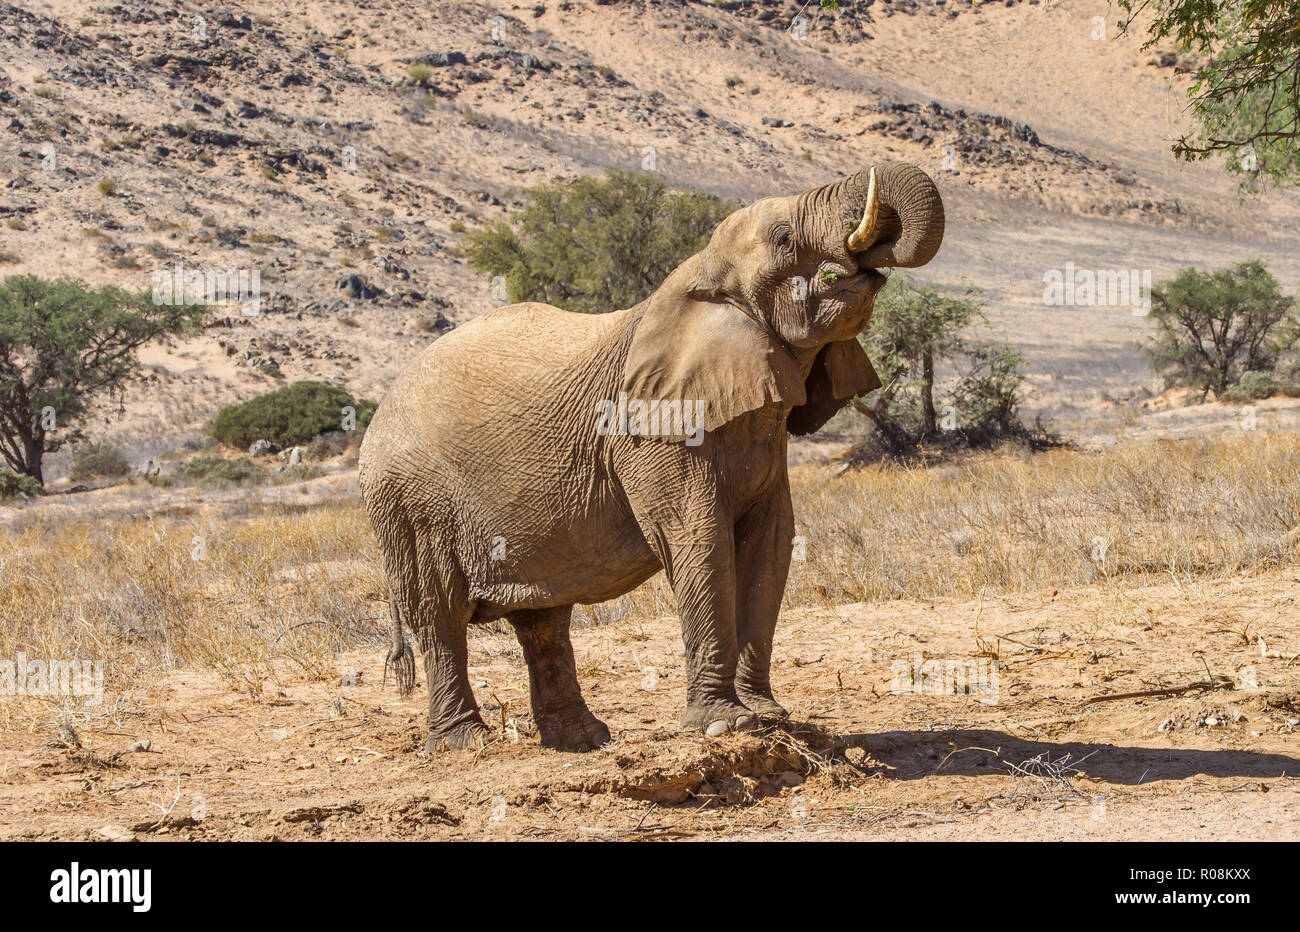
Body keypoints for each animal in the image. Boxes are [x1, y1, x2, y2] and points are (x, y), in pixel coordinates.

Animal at [358, 162, 945, 752]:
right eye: (783, 239)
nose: (856, 265)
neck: (697, 276)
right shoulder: (653, 434)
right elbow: (698, 540)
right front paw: (724, 726)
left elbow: (773, 541)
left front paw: (767, 715)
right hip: (408, 502)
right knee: (440, 616)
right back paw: (467, 744)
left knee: (542, 620)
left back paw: (584, 740)